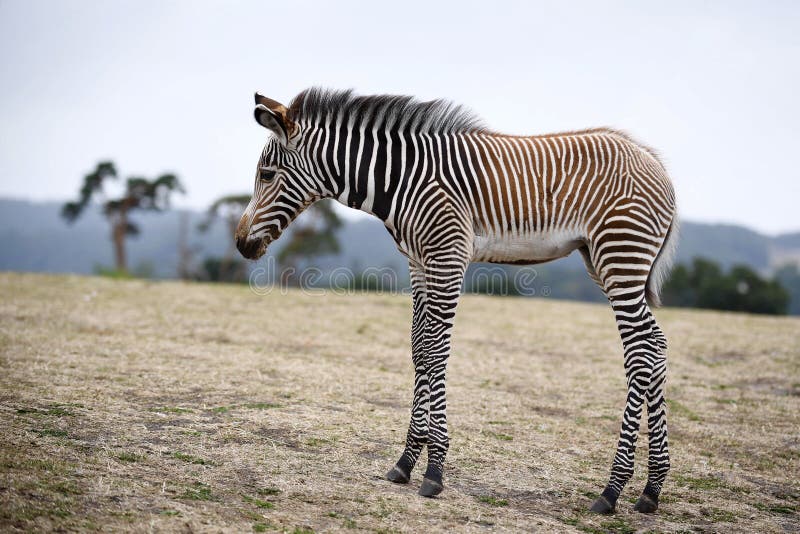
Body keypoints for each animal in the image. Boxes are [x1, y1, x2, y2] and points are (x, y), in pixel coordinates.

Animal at [236, 89, 678, 514]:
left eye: (266, 174)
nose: (240, 244)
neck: (402, 179)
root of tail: (656, 165)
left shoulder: (447, 256)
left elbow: (436, 350)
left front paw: (434, 469)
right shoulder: (417, 261)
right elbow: (419, 348)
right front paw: (406, 461)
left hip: (620, 256)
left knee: (640, 351)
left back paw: (612, 490)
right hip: (603, 261)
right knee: (655, 346)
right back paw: (651, 489)